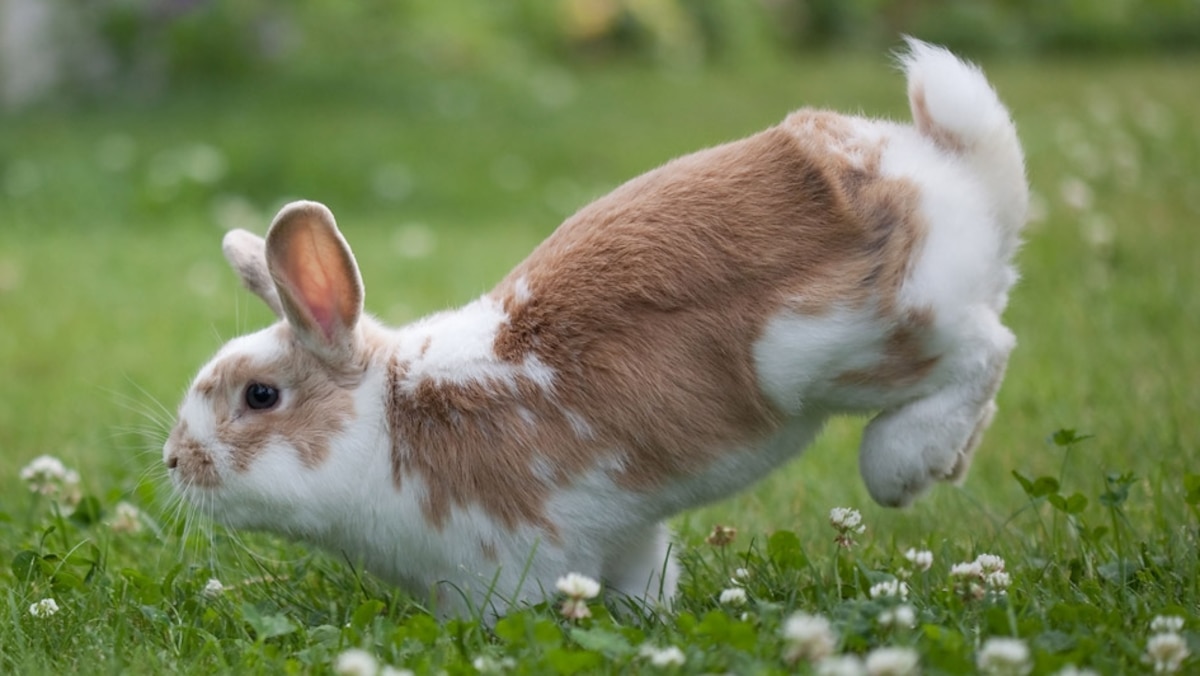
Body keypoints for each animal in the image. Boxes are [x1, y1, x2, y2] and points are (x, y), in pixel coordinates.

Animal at [164, 38, 1027, 620]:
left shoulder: (503, 564)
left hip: (851, 345)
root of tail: (951, 173)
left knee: (986, 350)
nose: (174, 461)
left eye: (261, 396)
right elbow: (645, 580)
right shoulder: (624, 535)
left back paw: (904, 466)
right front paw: (650, 621)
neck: (389, 418)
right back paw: (946, 462)